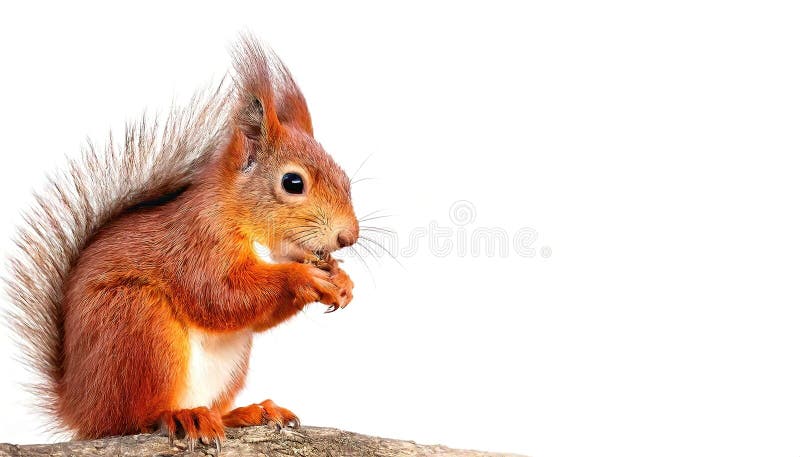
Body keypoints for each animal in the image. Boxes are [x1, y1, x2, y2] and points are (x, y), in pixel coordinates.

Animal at [4, 36, 358, 448]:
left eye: (344, 176)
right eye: (293, 182)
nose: (349, 236)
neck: (245, 222)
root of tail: (78, 407)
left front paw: (341, 280)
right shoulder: (196, 242)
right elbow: (219, 295)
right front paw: (300, 278)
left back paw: (247, 413)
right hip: (138, 324)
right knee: (130, 419)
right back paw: (180, 415)